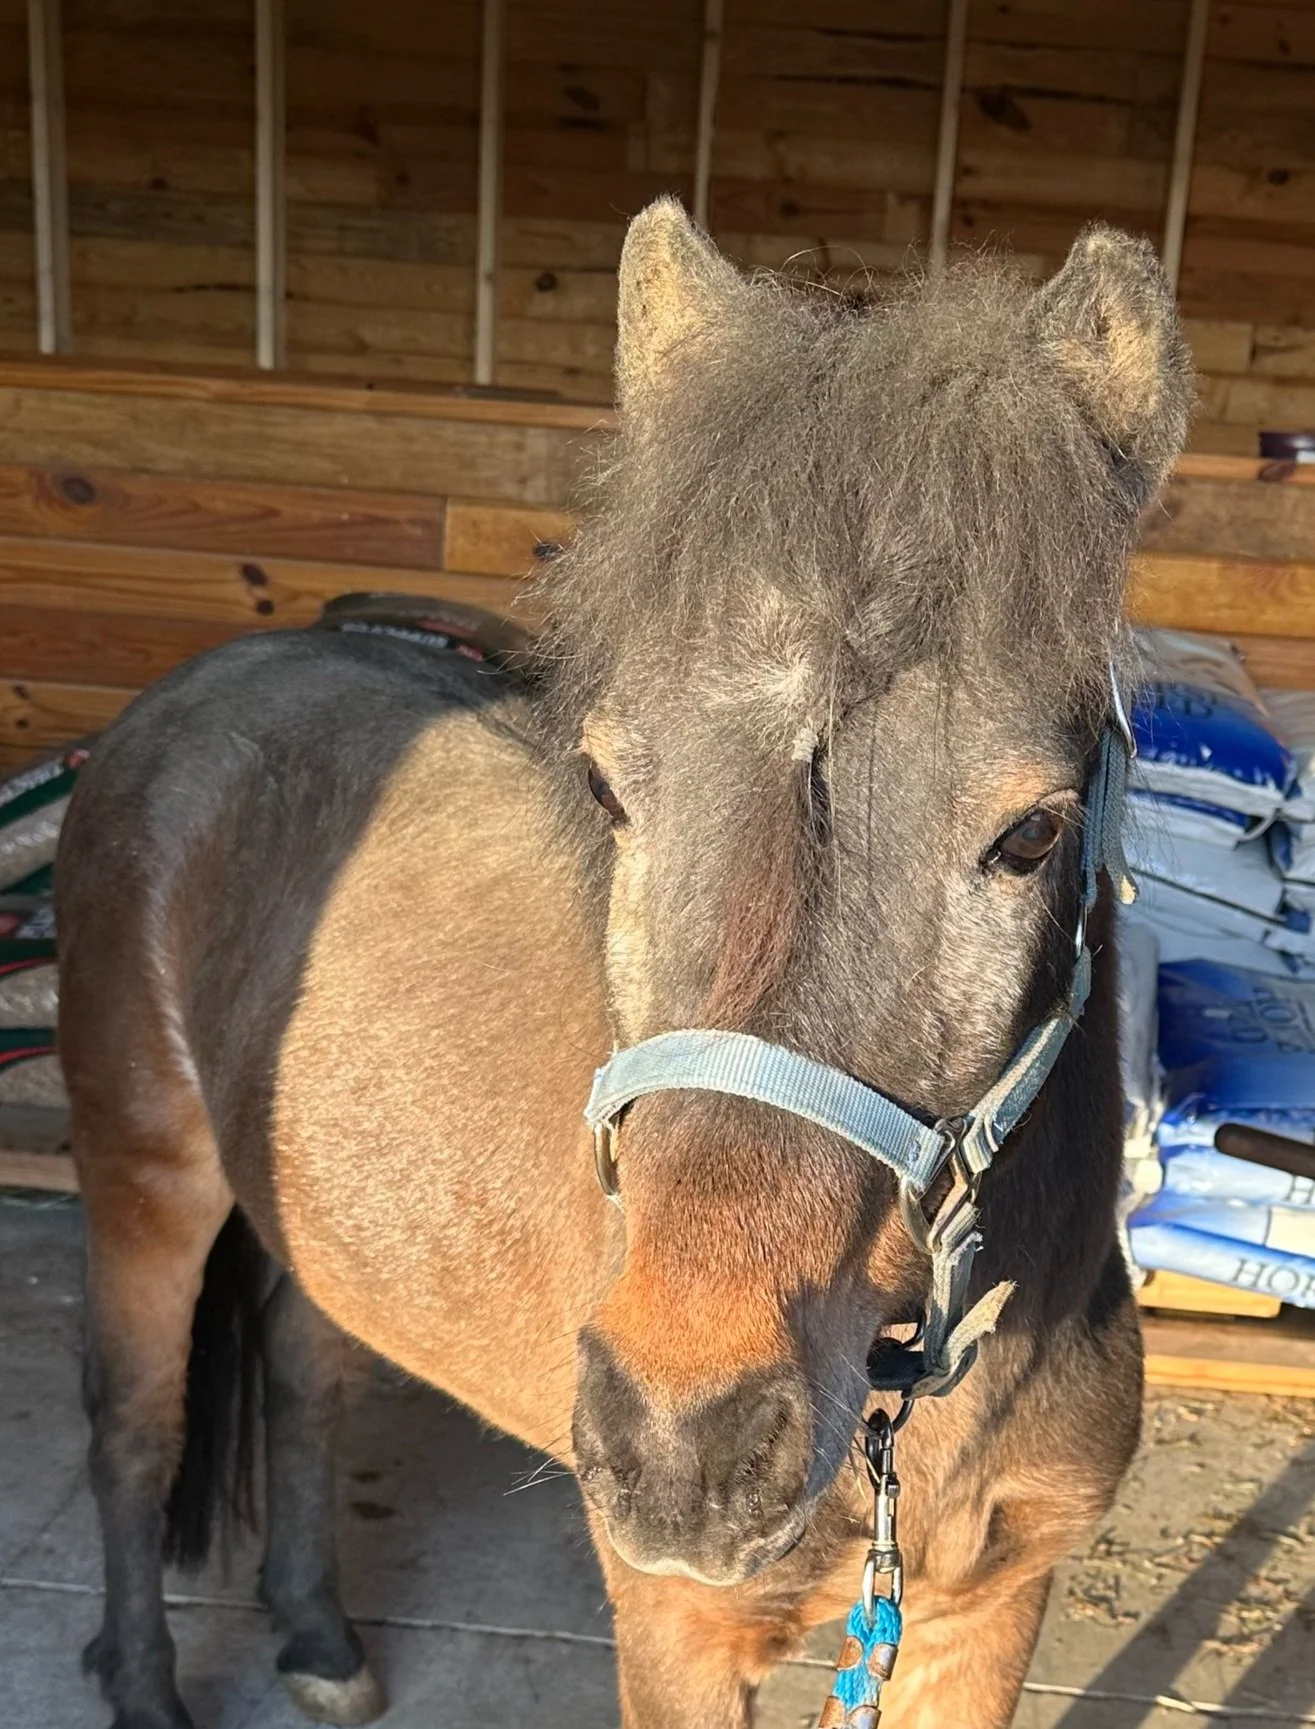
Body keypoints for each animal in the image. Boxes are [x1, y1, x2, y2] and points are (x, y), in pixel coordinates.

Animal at [57, 198, 1192, 1729]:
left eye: (1028, 832)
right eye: (609, 787)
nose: (682, 1437)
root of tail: (199, 687)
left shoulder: (987, 1614)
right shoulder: (676, 1634)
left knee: (305, 1376)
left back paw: (317, 1637)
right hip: (145, 1180)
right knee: (134, 1427)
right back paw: (146, 1682)